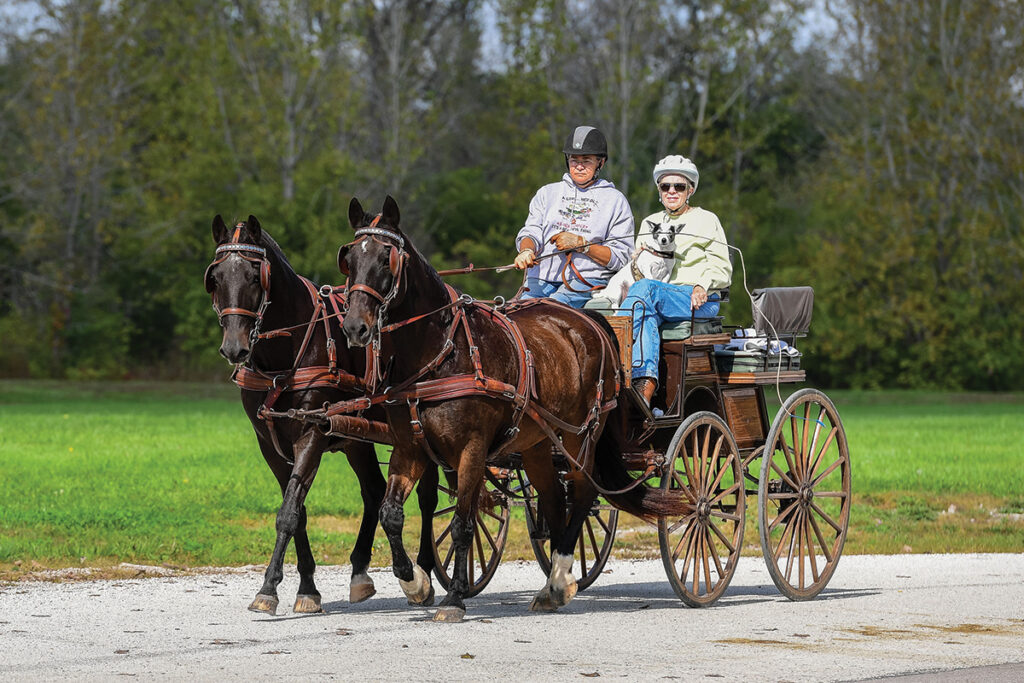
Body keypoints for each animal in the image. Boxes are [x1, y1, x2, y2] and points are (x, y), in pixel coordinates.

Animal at [204, 214, 439, 615]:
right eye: (216, 277)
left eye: (253, 276)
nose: (235, 348)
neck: (282, 360)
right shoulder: (270, 444)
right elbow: (297, 511)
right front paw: (307, 588)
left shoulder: (310, 433)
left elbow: (288, 511)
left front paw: (268, 588)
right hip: (356, 439)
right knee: (374, 491)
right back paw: (360, 572)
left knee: (427, 497)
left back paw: (423, 570)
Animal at [337, 196, 688, 621]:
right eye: (349, 257)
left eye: (386, 257)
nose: (354, 327)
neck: (442, 352)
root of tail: (590, 320)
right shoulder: (410, 447)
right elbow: (391, 514)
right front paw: (416, 583)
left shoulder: (471, 449)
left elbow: (464, 523)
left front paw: (454, 597)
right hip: (537, 444)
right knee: (553, 497)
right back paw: (554, 583)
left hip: (581, 435)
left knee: (582, 494)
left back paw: (560, 578)